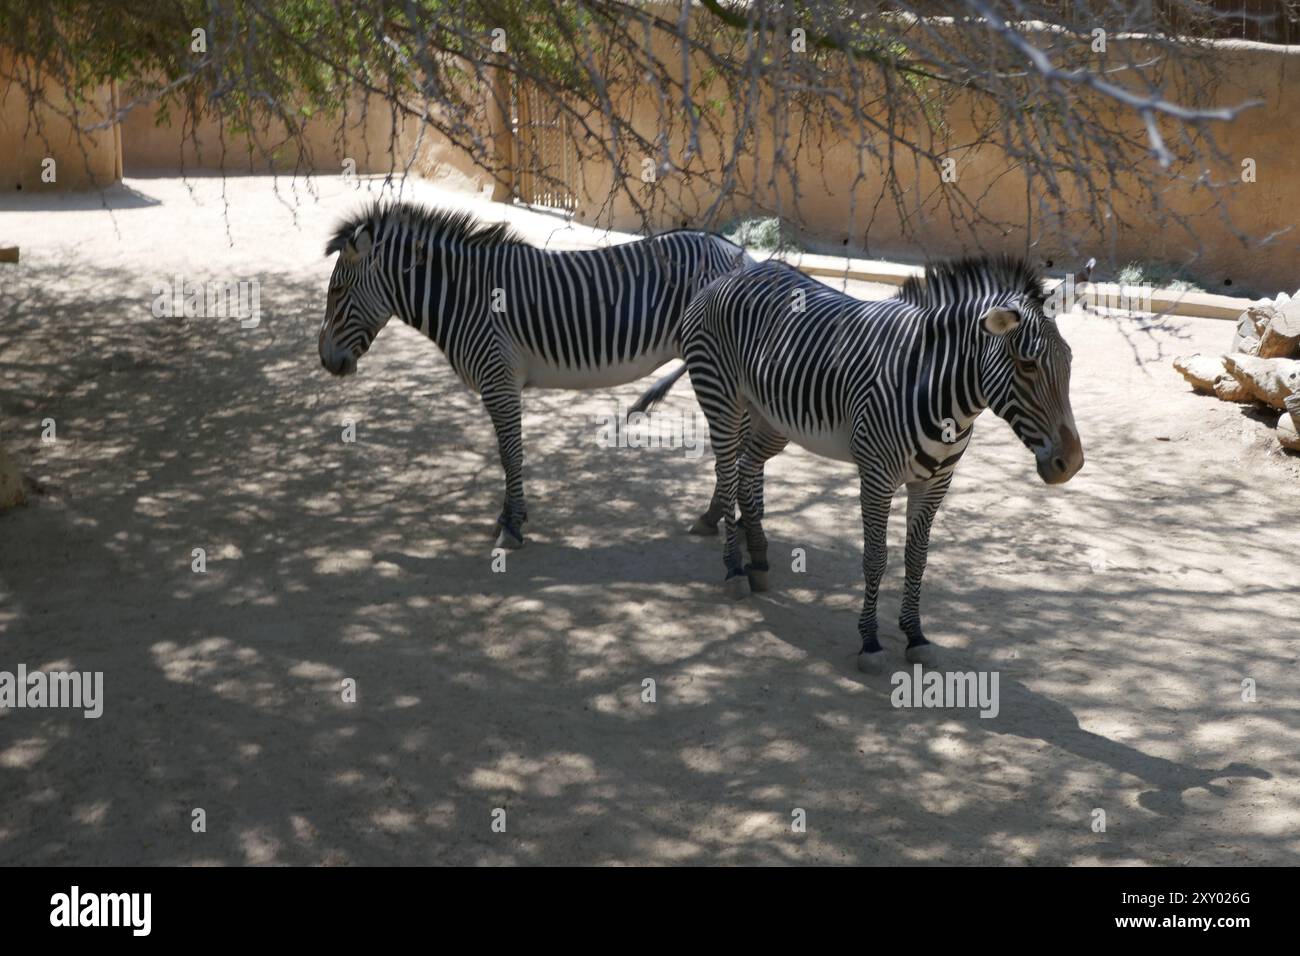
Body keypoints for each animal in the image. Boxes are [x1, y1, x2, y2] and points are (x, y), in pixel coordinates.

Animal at [318, 202, 752, 549]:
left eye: (337, 292)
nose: (324, 361)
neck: (463, 298)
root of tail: (740, 252)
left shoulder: (499, 380)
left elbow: (511, 454)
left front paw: (511, 526)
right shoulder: (500, 384)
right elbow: (505, 454)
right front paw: (509, 516)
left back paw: (721, 517)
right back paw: (719, 515)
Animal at [633, 254, 1089, 673]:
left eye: (1069, 359)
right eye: (1027, 364)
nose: (1072, 464)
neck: (939, 391)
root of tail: (738, 270)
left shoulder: (936, 482)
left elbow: (917, 558)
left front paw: (915, 634)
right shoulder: (876, 476)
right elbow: (876, 558)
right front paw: (870, 641)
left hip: (772, 418)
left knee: (746, 468)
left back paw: (758, 560)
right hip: (723, 399)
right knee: (727, 473)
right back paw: (733, 570)